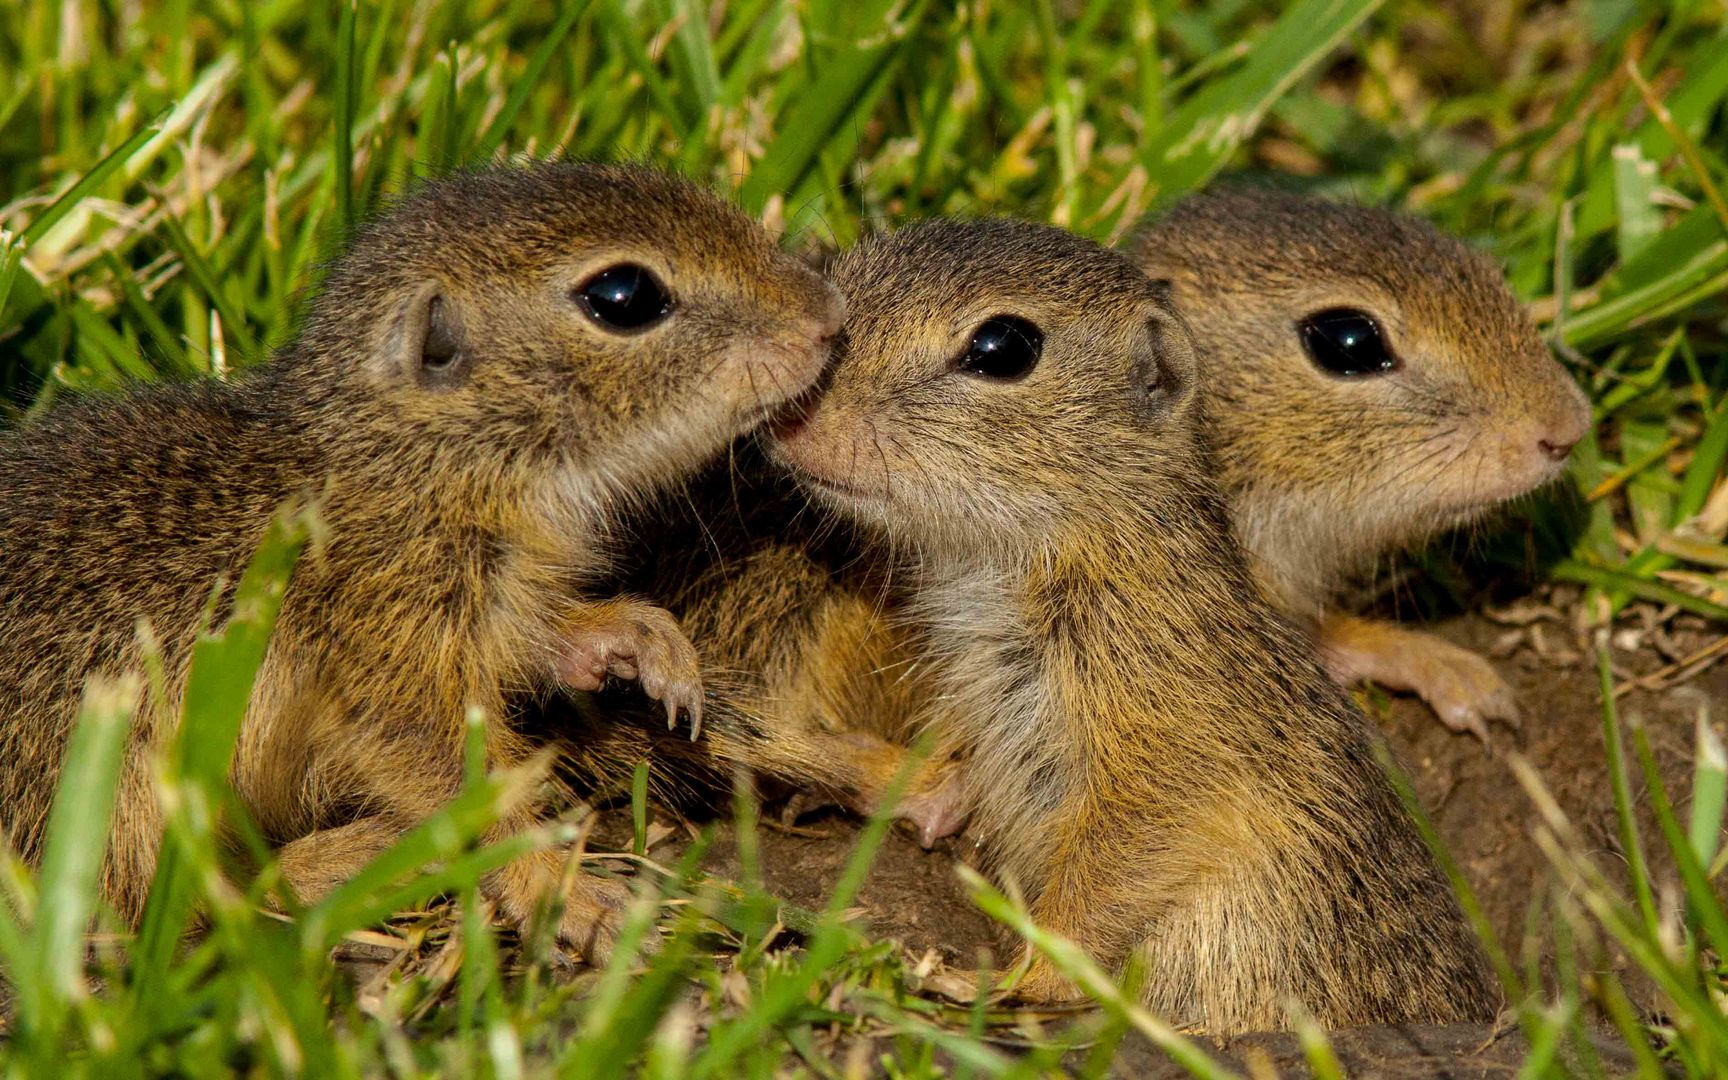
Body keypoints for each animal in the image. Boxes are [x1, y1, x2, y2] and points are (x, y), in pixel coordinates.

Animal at [0, 158, 843, 953]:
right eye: (623, 296)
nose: (828, 319)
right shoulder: (388, 663)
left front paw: (642, 641)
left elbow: (543, 639)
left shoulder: (489, 608)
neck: (421, 463)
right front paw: (559, 892)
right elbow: (460, 787)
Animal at [774, 219, 1499, 1029]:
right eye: (836, 282)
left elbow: (1105, 883)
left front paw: (1006, 983)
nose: (792, 418)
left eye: (1002, 349)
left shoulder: (1161, 764)